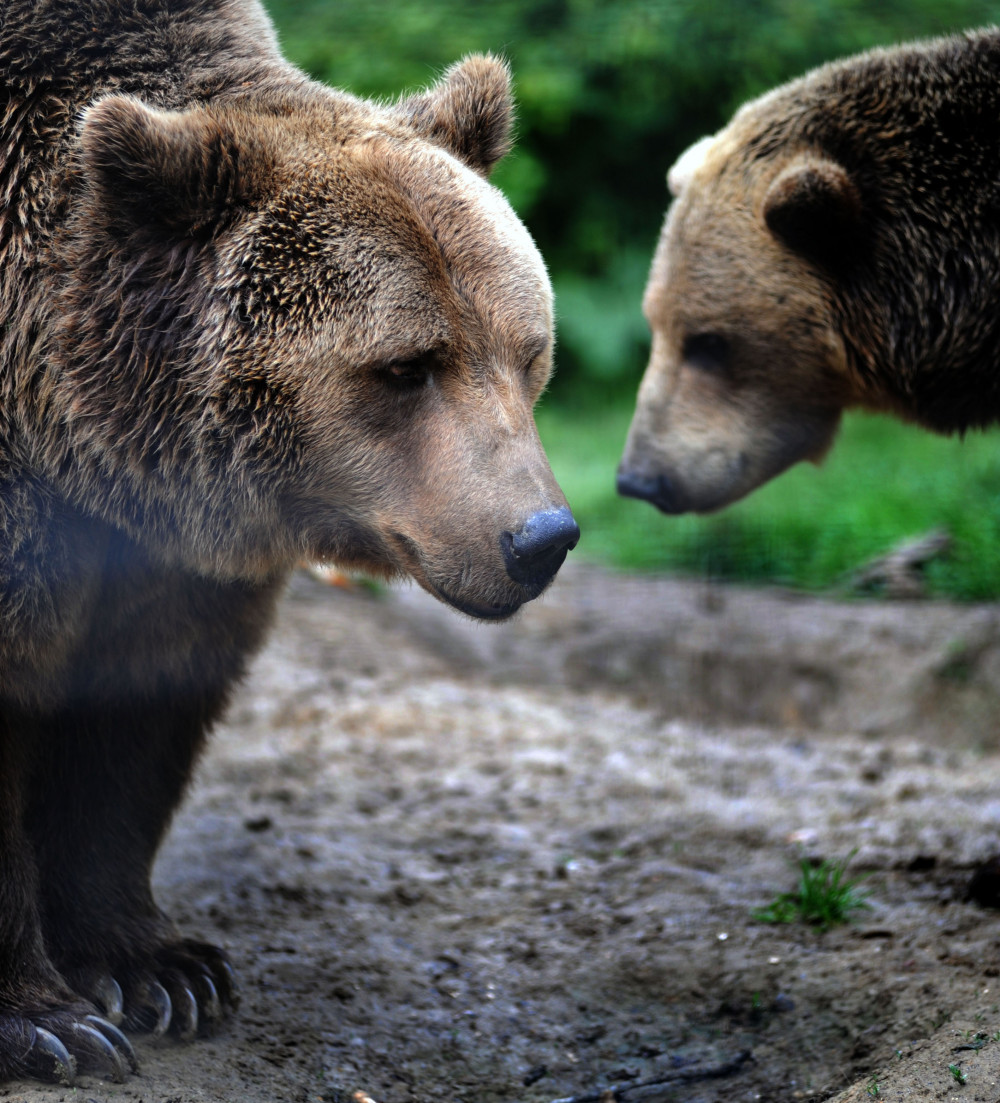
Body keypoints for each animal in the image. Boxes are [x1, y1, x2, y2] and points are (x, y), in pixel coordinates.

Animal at [0, 0, 579, 1085]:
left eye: (529, 352)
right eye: (406, 365)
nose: (539, 536)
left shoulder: (169, 552)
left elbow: (135, 718)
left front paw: (161, 968)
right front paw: (50, 1021)